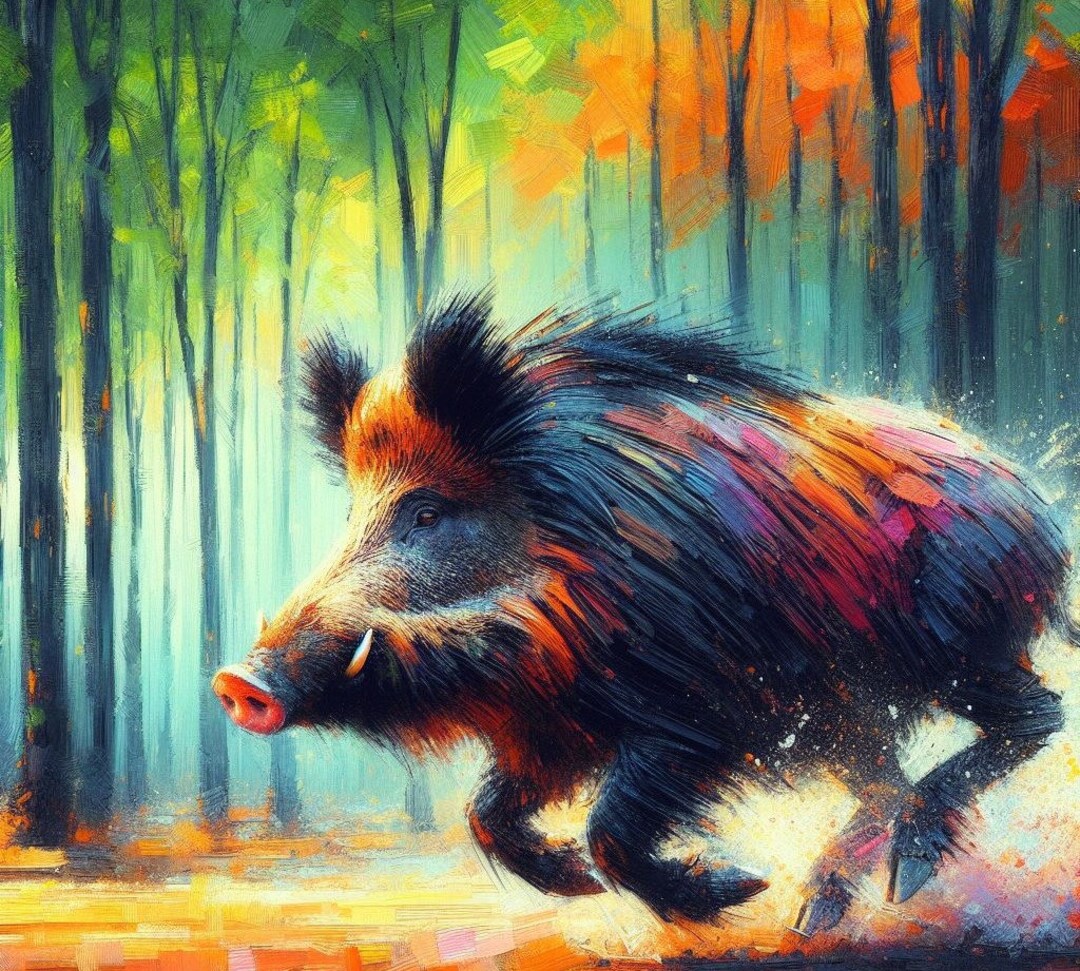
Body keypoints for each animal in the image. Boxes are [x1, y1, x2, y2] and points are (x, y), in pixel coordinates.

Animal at [213, 293, 1071, 930]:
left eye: (426, 513)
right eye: (353, 511)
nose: (237, 682)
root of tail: (1039, 508)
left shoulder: (698, 707)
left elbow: (612, 831)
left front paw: (737, 890)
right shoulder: (553, 724)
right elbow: (487, 813)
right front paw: (582, 886)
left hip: (956, 649)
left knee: (1035, 718)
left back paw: (885, 880)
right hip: (850, 709)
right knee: (884, 783)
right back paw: (817, 913)